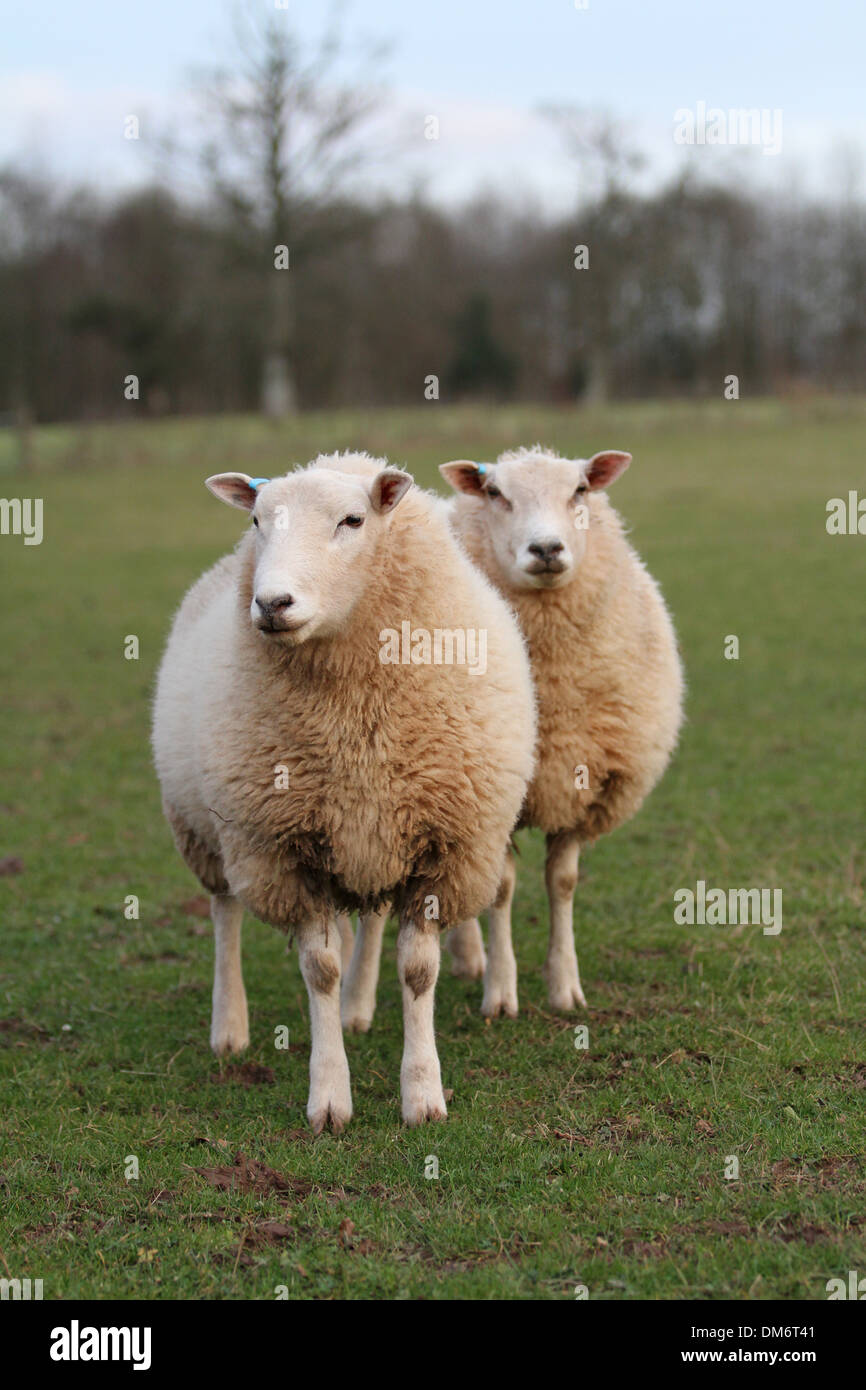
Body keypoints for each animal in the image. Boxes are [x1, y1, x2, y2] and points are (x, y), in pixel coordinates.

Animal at [151, 452, 536, 1131]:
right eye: (256, 520)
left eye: (353, 520)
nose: (271, 602)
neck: (354, 716)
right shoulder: (284, 852)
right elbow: (319, 970)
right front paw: (330, 1095)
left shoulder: (439, 847)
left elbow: (418, 972)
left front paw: (422, 1093)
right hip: (210, 832)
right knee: (224, 915)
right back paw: (230, 1027)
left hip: (374, 834)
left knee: (368, 921)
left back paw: (359, 1007)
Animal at [436, 445, 684, 1017]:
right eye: (495, 493)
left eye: (580, 490)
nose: (546, 548)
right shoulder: (501, 791)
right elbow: (501, 889)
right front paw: (501, 991)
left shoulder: (585, 782)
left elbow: (564, 883)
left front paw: (565, 985)